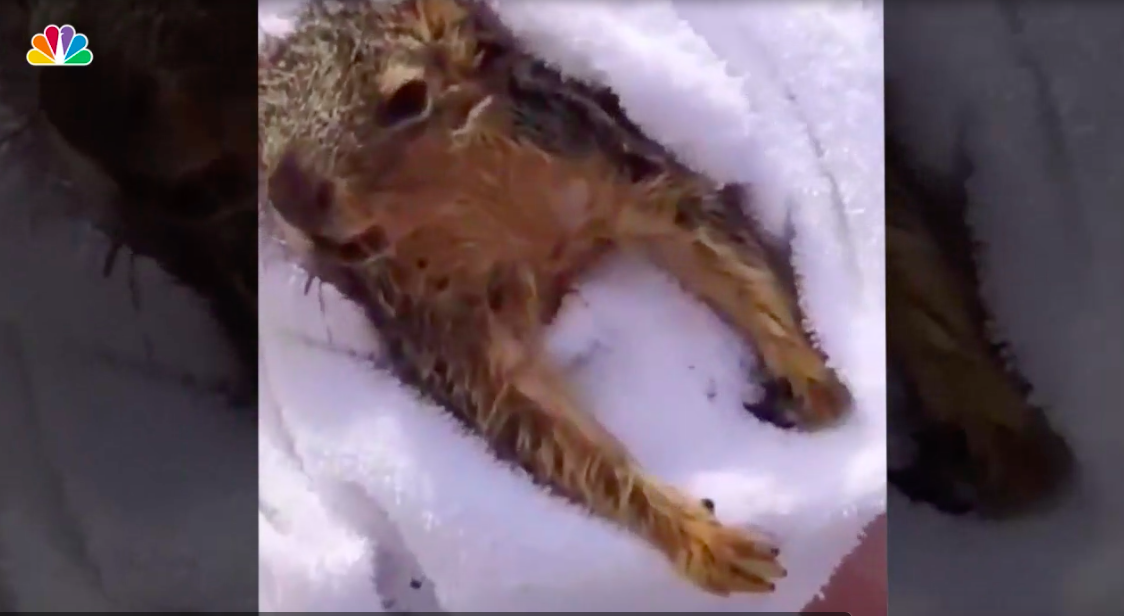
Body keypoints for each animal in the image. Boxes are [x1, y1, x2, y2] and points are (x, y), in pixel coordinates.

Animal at [260, 0, 850, 595]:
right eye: (261, 145)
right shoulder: (446, 324)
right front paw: (701, 538)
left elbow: (721, 255)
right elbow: (556, 433)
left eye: (409, 98)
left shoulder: (615, 169)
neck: (475, 203)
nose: (288, 199)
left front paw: (810, 374)